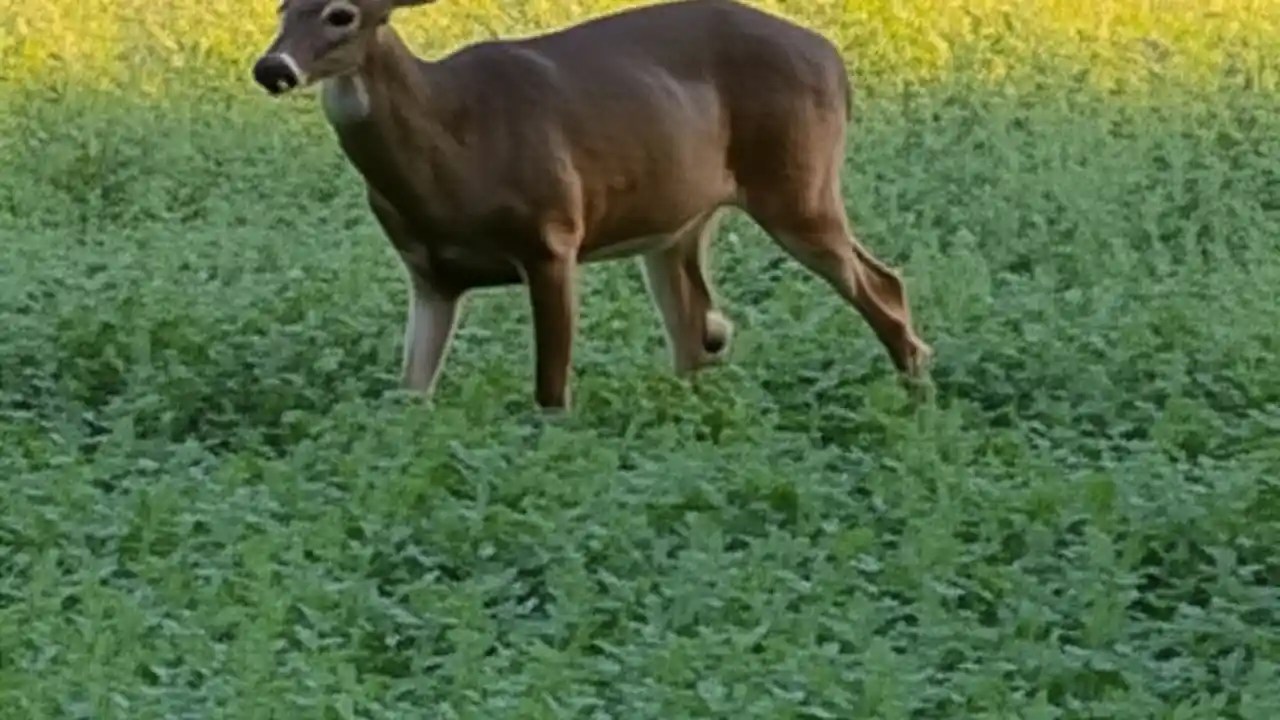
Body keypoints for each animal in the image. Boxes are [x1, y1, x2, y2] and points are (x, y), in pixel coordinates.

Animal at [251, 0, 932, 412]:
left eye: (341, 14)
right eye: (282, 7)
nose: (271, 67)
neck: (453, 145)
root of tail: (835, 61)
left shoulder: (553, 234)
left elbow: (551, 393)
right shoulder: (428, 273)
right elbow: (411, 395)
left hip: (798, 183)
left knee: (884, 284)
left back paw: (915, 394)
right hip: (678, 225)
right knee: (697, 337)